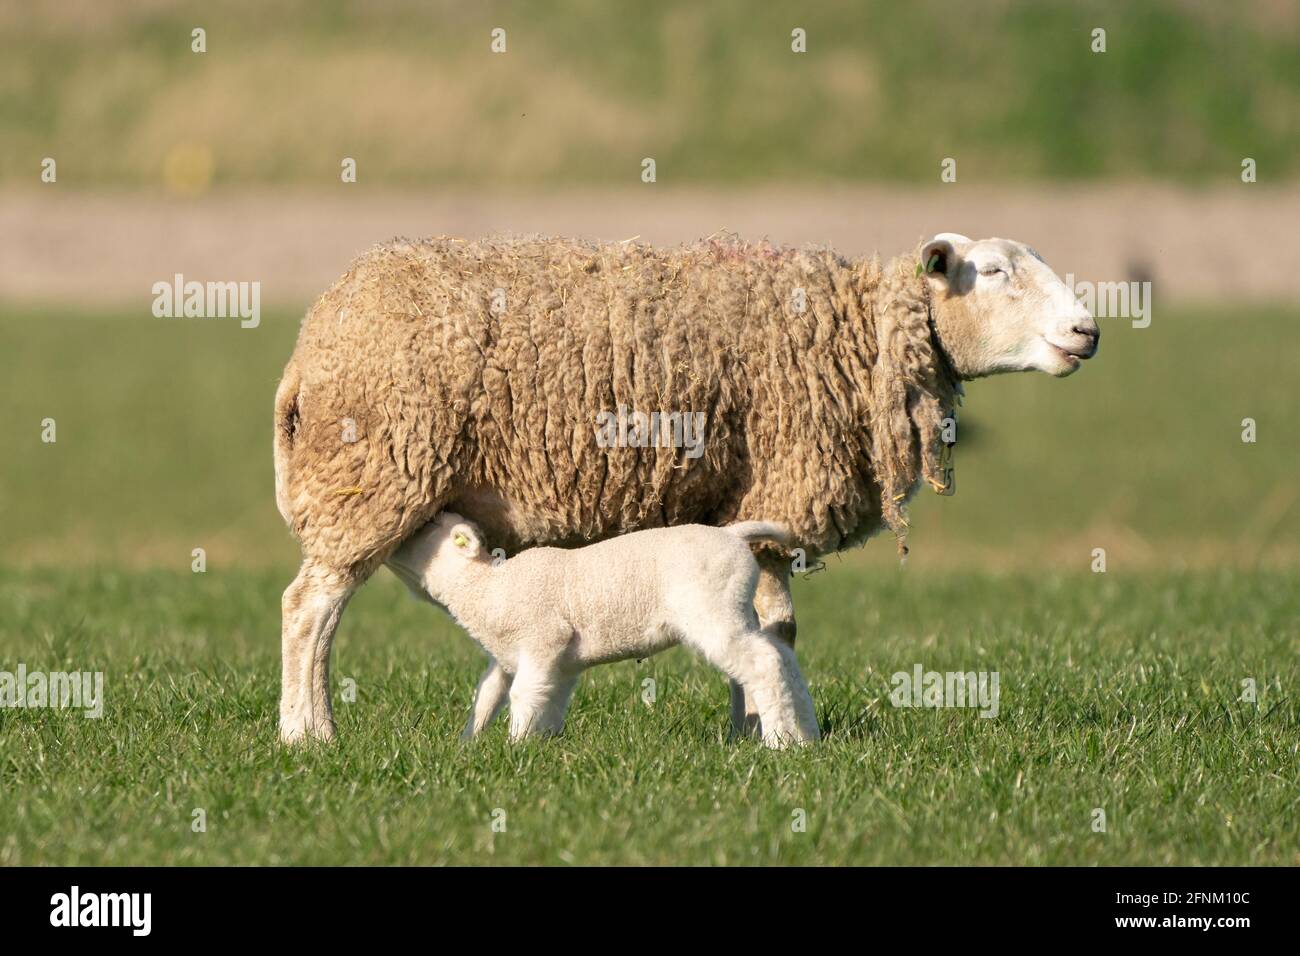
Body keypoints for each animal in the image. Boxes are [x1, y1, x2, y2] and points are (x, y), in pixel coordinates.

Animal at [386, 512, 820, 747]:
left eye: (427, 525)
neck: (484, 587)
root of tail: (732, 535)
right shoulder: (535, 661)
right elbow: (497, 696)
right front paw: (475, 745)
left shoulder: (544, 639)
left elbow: (522, 695)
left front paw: (514, 747)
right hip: (737, 610)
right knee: (783, 656)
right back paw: (805, 738)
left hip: (712, 611)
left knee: (764, 663)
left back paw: (778, 742)